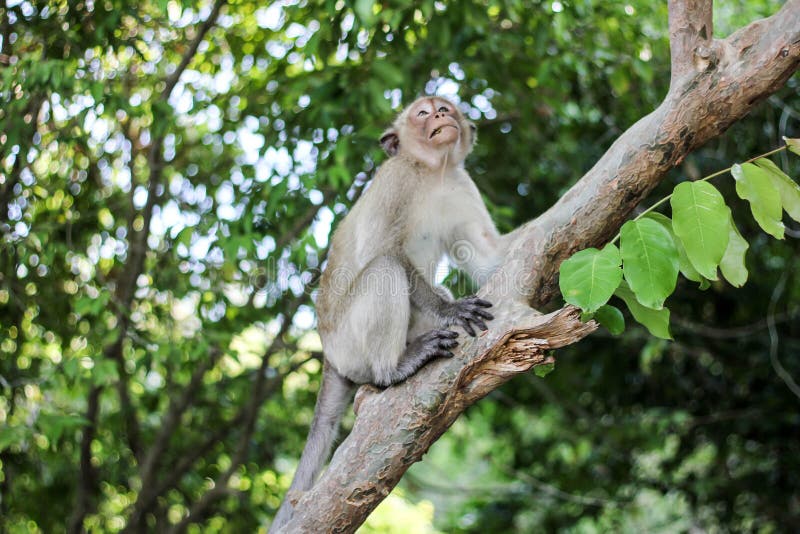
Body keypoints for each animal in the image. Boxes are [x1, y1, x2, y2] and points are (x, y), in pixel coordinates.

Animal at [270, 96, 509, 531]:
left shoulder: (461, 187)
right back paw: (394, 367)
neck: (432, 173)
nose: (441, 115)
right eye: (423, 113)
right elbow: (386, 252)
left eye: (445, 107)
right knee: (385, 269)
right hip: (350, 343)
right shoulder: (396, 182)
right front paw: (451, 309)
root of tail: (329, 354)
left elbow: (491, 261)